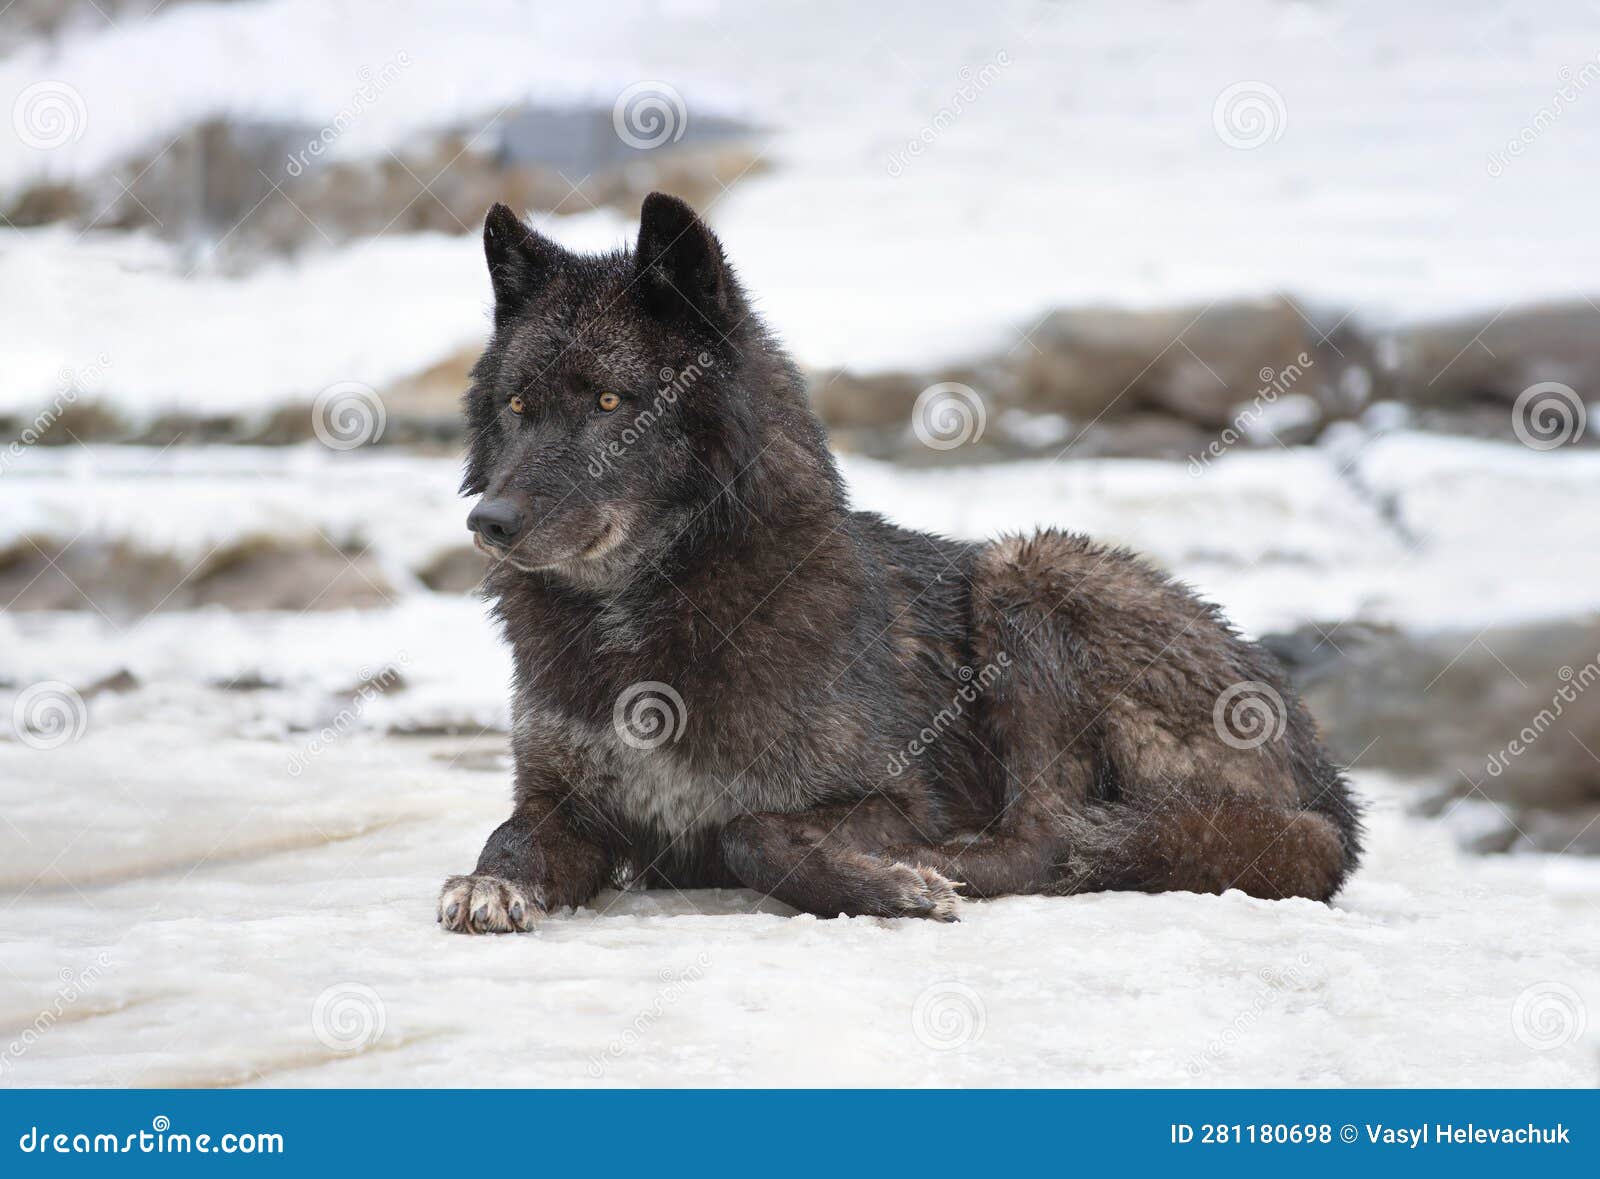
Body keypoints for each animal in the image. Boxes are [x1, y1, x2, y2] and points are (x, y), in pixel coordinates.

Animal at [438, 193, 1362, 932]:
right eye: (516, 405)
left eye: (608, 401)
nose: (490, 521)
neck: (637, 613)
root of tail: (1333, 799)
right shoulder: (565, 802)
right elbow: (512, 831)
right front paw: (490, 883)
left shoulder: (899, 795)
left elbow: (752, 832)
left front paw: (891, 883)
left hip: (1027, 569)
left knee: (1051, 840)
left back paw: (947, 866)